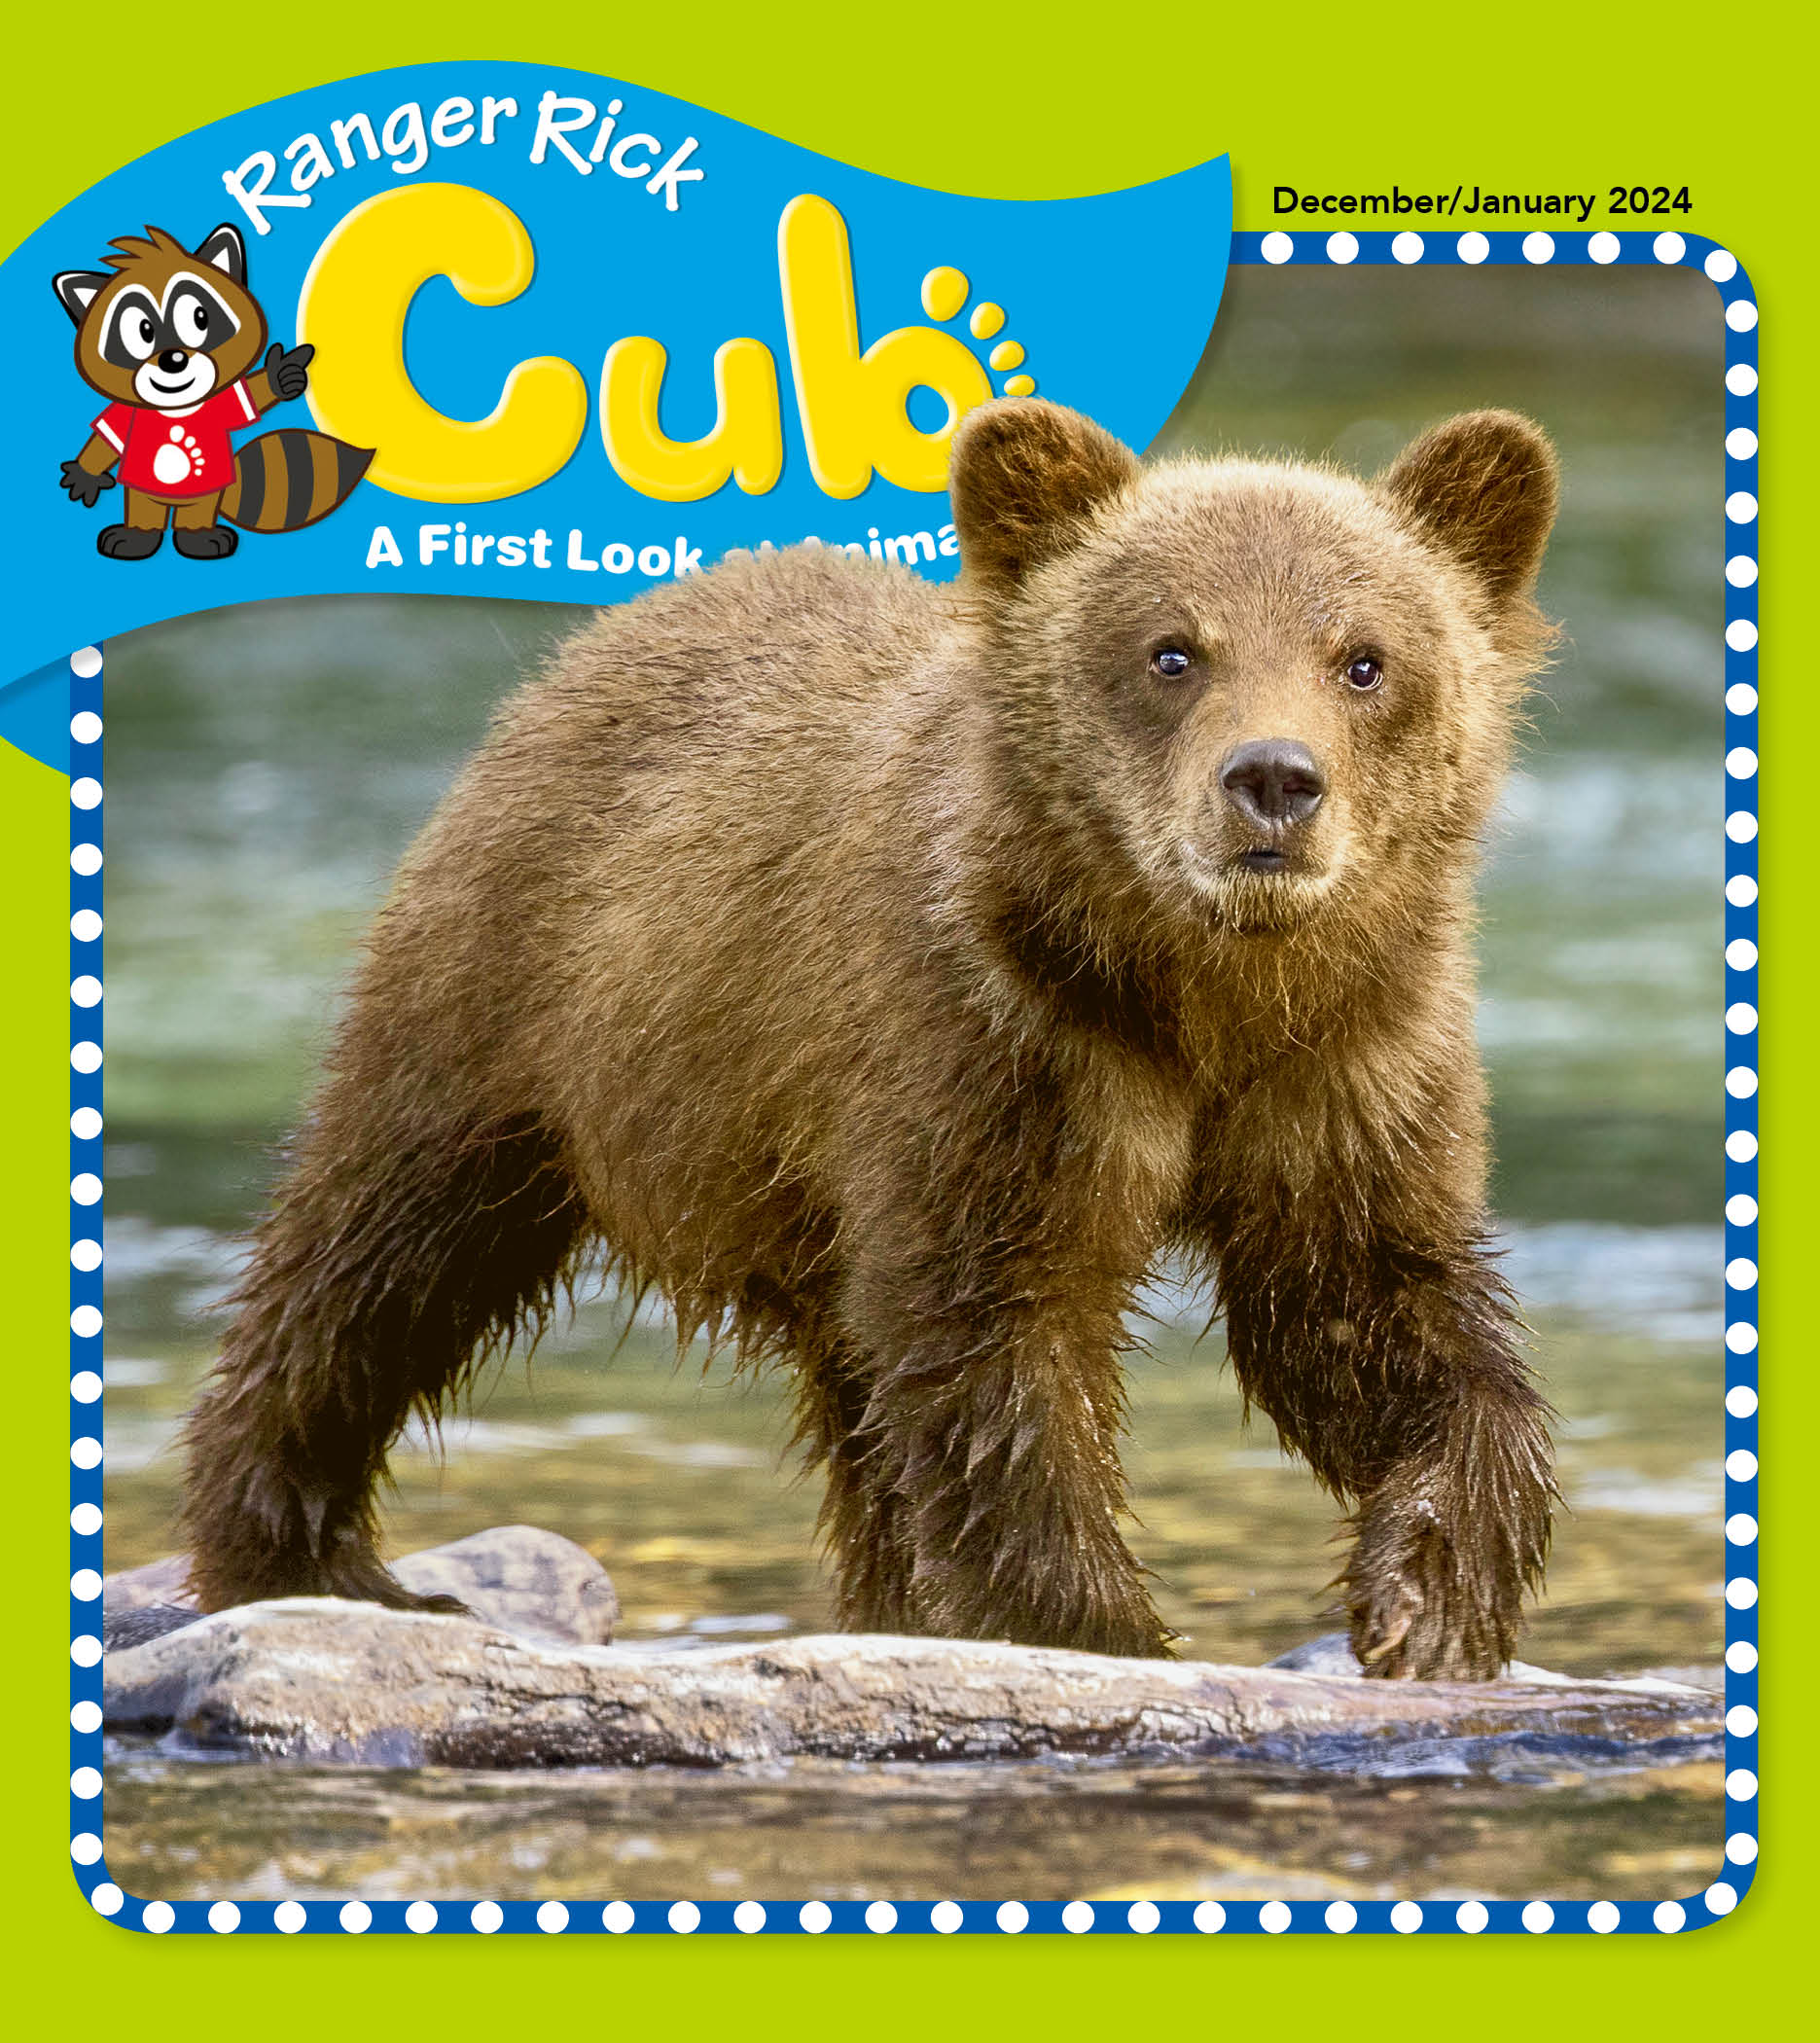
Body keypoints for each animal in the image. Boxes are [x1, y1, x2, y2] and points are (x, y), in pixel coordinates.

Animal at [177, 397, 1561, 1681]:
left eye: (1363, 659)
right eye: (1172, 649)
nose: (1271, 780)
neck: (1195, 989)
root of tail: (591, 646)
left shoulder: (1343, 1063)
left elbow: (1365, 1308)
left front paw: (1428, 1598)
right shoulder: (994, 1040)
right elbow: (996, 1346)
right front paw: (1108, 1634)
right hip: (514, 1002)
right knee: (380, 1256)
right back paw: (306, 1554)